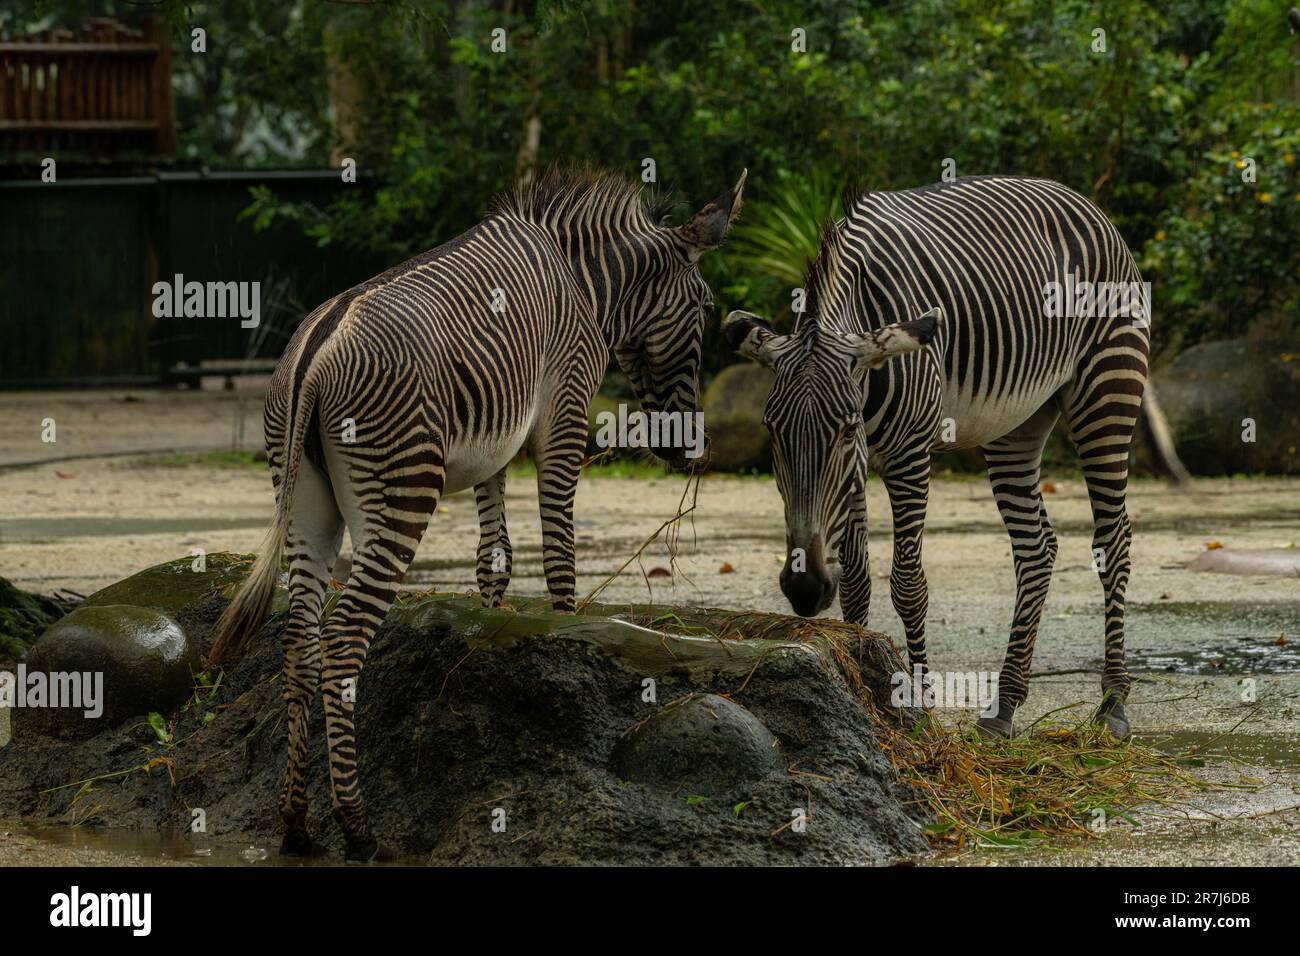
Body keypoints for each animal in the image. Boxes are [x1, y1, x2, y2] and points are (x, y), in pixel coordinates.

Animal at [206, 167, 747, 861]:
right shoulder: (564, 413)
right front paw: (569, 641)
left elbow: (497, 559)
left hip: (303, 501)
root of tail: (314, 354)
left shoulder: (496, 444)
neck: (583, 281)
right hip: (402, 488)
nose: (688, 448)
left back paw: (297, 825)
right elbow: (559, 552)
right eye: (705, 308)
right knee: (343, 634)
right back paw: (357, 827)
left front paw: (490, 643)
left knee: (300, 636)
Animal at [723, 174, 1186, 741]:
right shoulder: (856, 471)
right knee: (1037, 549)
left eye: (845, 428)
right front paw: (855, 680)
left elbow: (908, 584)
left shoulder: (907, 455)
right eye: (770, 430)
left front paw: (920, 708)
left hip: (1108, 389)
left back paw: (1113, 705)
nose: (805, 588)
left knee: (1113, 542)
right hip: (1017, 423)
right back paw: (1004, 707)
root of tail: (1085, 202)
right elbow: (856, 581)